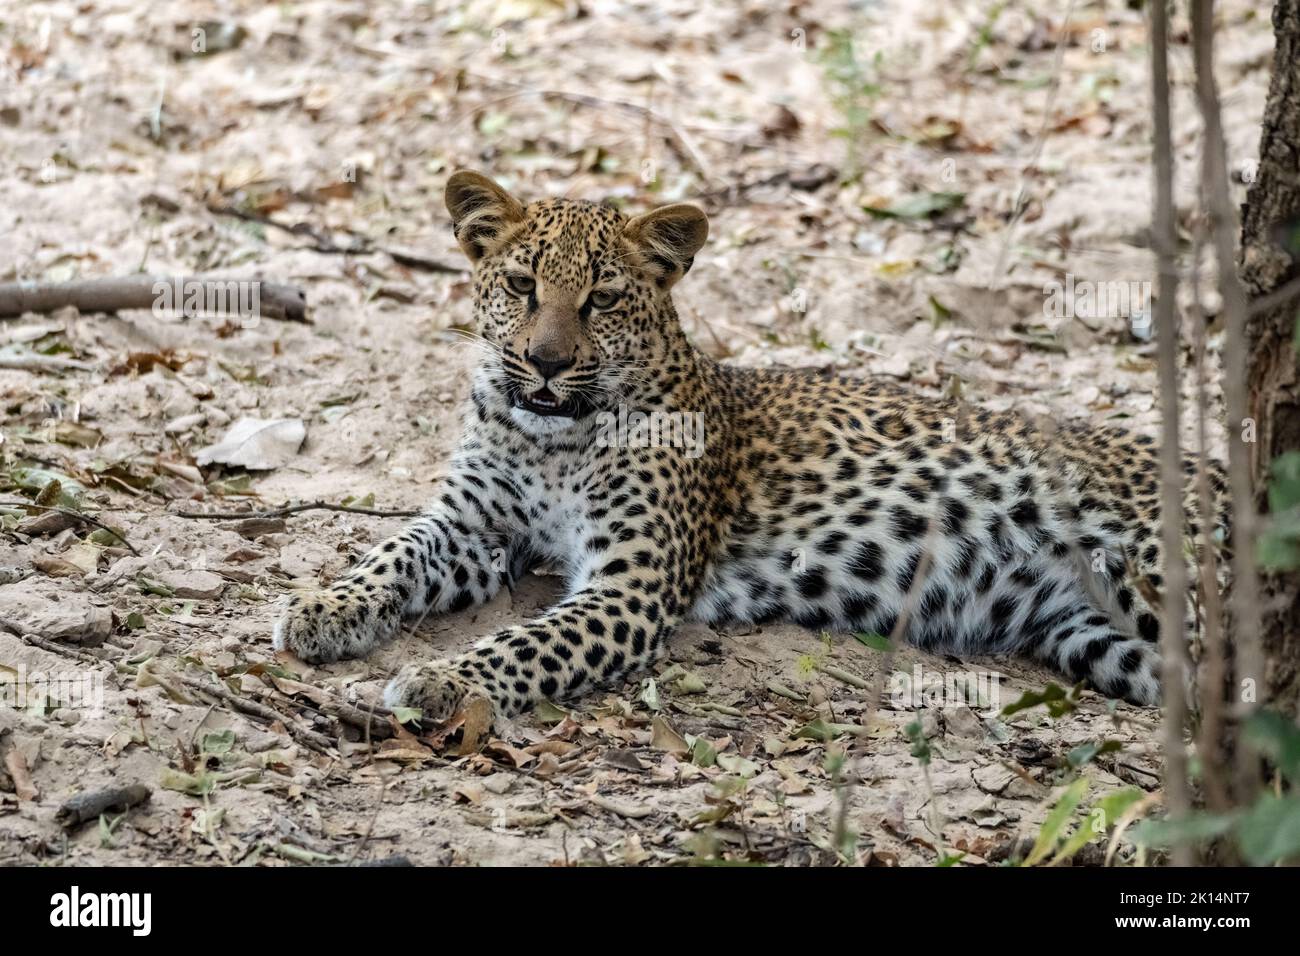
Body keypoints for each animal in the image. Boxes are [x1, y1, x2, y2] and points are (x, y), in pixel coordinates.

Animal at [273, 170, 1227, 724]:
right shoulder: (473, 527)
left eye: (602, 299)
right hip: (1099, 640)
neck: (555, 439)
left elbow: (523, 645)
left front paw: (442, 682)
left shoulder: (630, 588)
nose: (545, 362)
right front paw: (322, 606)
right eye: (519, 284)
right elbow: (392, 551)